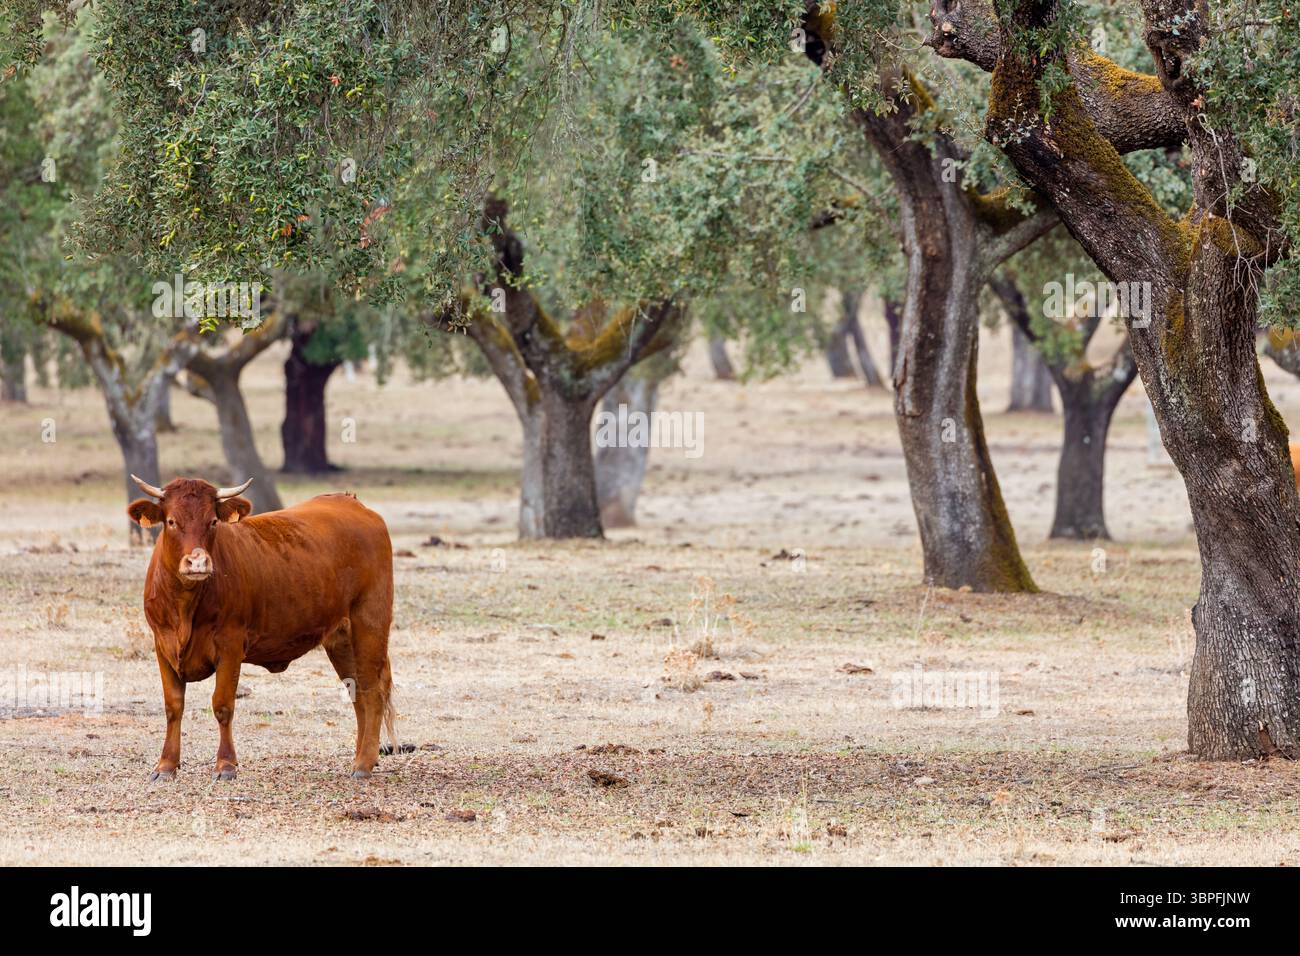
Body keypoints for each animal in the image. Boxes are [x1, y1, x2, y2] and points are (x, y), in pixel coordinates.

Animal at [127, 475, 398, 781]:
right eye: (171, 521)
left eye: (213, 521)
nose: (198, 562)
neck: (185, 606)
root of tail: (352, 502)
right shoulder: (163, 646)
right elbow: (173, 706)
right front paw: (166, 766)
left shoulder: (230, 646)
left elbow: (222, 705)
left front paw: (226, 765)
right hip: (342, 639)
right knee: (357, 694)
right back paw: (361, 758)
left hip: (370, 624)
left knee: (372, 692)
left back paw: (363, 764)